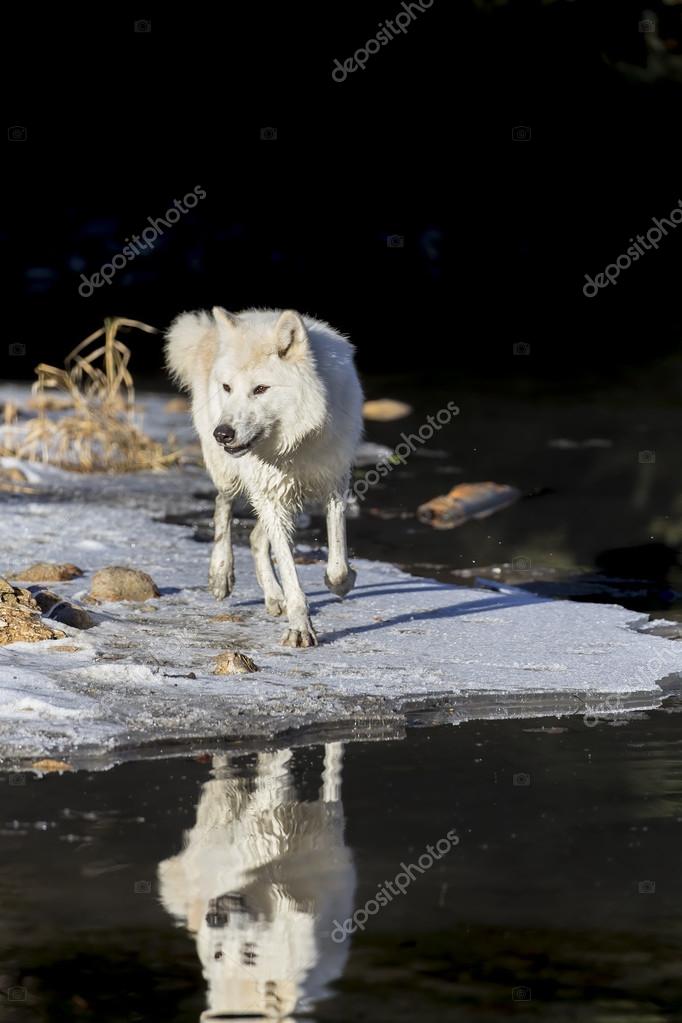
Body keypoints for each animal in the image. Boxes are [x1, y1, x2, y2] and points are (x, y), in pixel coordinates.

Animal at [165, 307, 363, 647]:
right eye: (228, 387)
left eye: (260, 389)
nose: (223, 434)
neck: (295, 444)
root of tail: (210, 334)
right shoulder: (270, 494)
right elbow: (290, 570)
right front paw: (300, 629)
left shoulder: (335, 483)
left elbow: (337, 561)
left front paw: (342, 581)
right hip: (233, 477)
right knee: (222, 507)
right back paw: (221, 575)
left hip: (287, 499)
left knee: (256, 538)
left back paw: (273, 597)